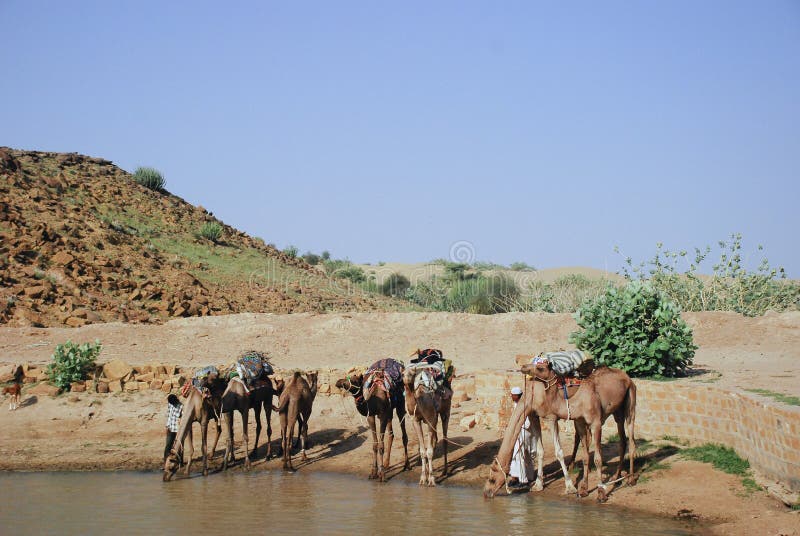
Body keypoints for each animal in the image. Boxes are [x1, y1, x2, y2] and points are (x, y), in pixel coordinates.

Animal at [515, 362, 637, 501]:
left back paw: (631, 479)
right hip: (618, 411)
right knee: (622, 441)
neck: (578, 402)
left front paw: (601, 493)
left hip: (630, 400)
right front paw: (583, 490)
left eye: (541, 367)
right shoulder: (579, 422)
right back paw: (616, 478)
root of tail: (627, 377)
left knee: (631, 439)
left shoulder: (596, 423)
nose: (524, 367)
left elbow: (598, 459)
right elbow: (585, 456)